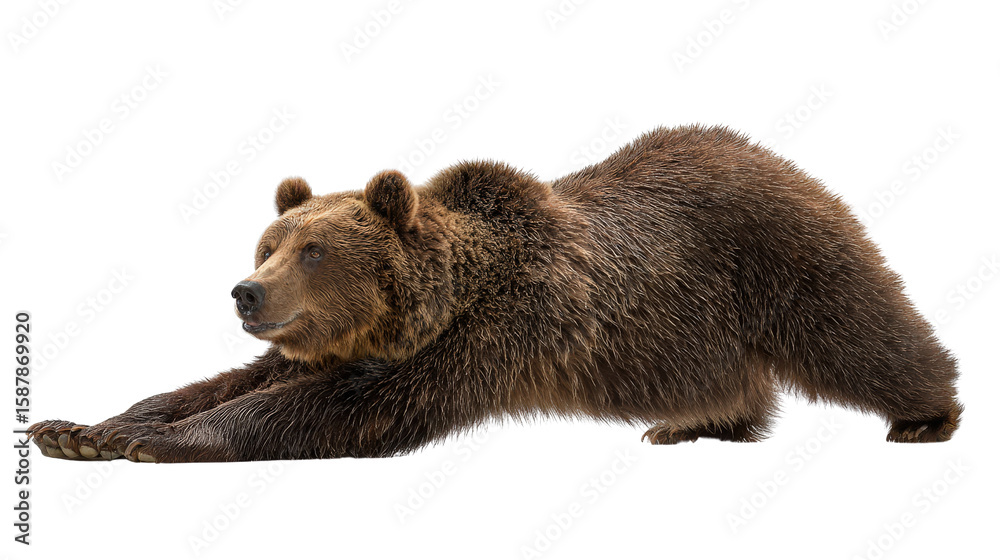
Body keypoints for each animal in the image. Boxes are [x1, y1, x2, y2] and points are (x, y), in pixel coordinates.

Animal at [29, 124, 963, 463]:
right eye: (268, 243)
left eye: (316, 250)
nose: (246, 293)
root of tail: (771, 153)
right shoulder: (338, 345)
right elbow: (231, 380)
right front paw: (80, 428)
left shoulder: (495, 332)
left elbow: (338, 411)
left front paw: (150, 443)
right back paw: (695, 423)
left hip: (778, 251)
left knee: (857, 328)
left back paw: (927, 414)